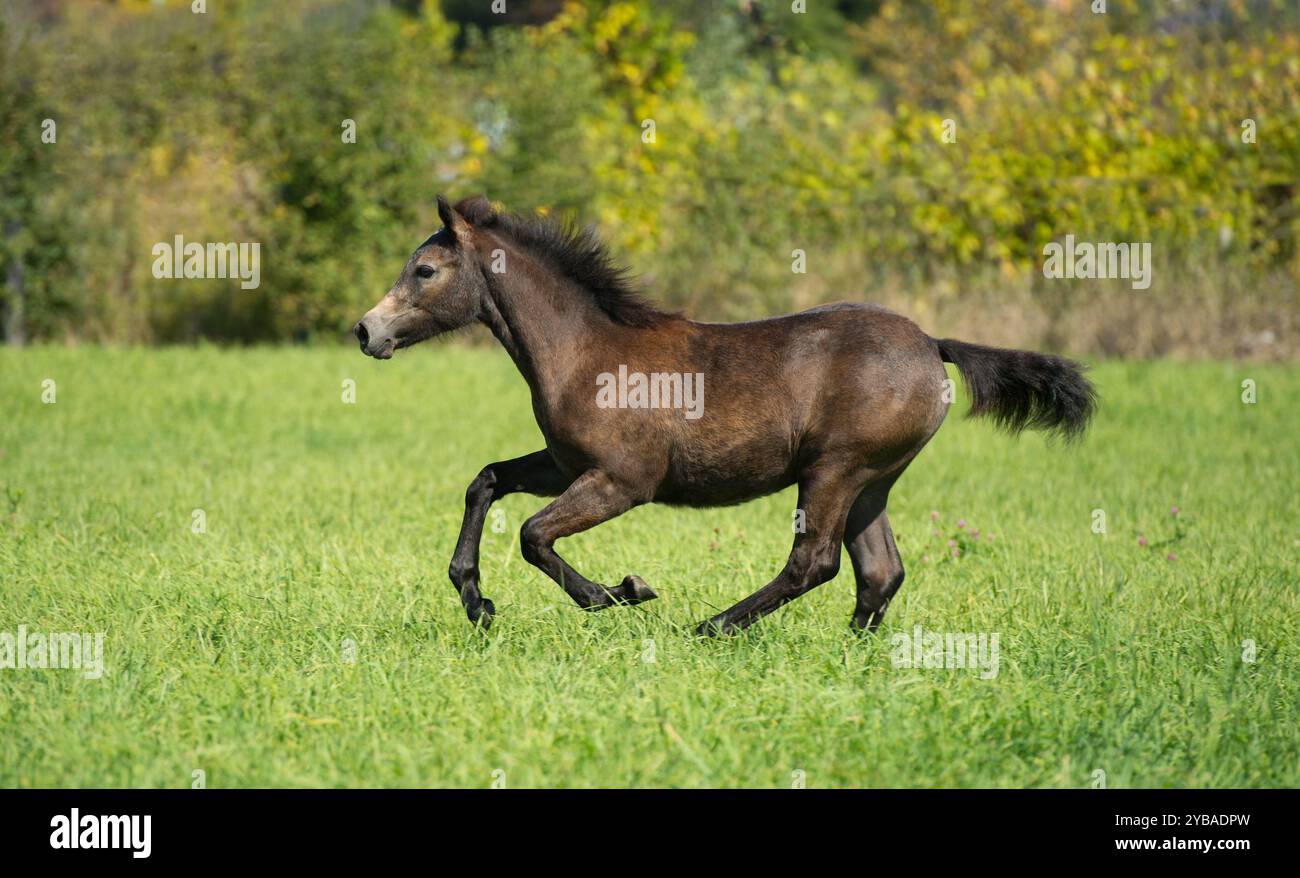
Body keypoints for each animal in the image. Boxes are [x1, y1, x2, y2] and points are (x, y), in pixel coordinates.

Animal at [354, 195, 1096, 636]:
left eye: (424, 270)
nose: (366, 331)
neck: (585, 350)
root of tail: (931, 344)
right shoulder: (565, 464)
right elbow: (485, 481)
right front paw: (475, 599)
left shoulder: (622, 481)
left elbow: (535, 535)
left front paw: (623, 591)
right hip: (872, 480)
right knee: (879, 571)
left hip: (835, 469)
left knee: (815, 562)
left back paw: (711, 628)